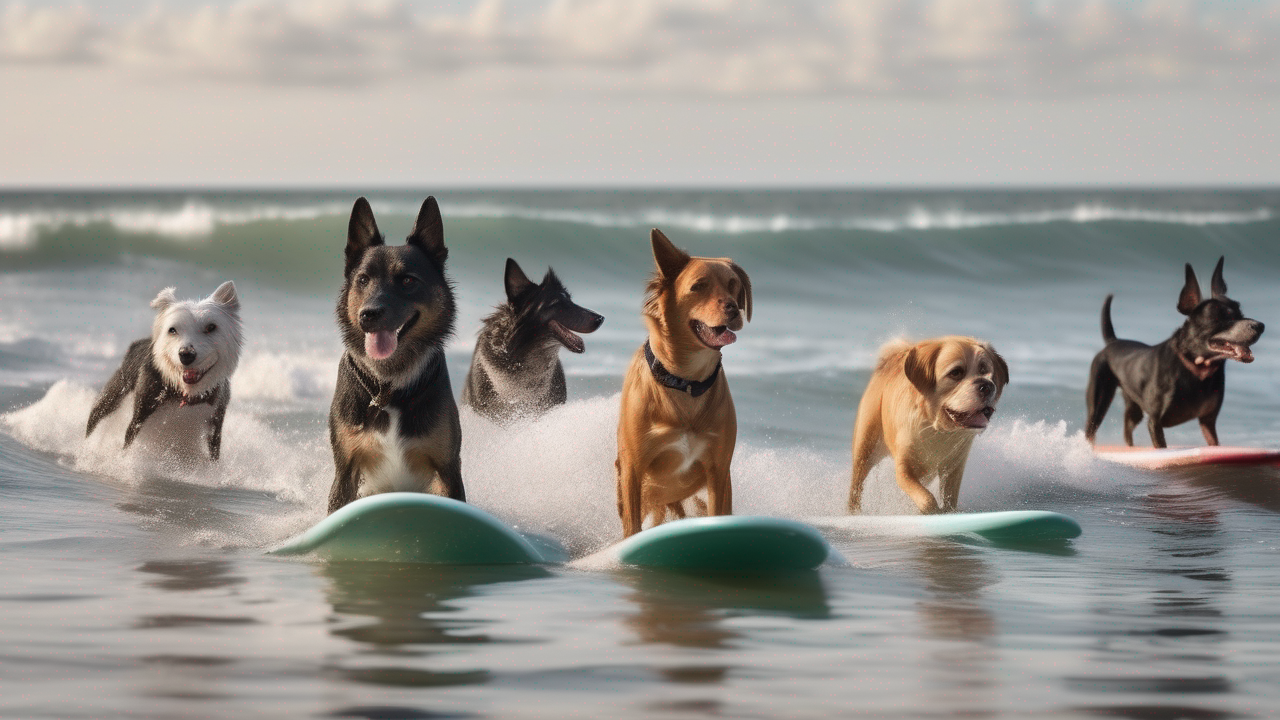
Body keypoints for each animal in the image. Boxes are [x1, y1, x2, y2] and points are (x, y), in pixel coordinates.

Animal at [88, 281, 243, 458]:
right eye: (172, 330)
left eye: (211, 327)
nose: (186, 354)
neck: (186, 395)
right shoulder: (140, 415)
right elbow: (129, 440)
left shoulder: (215, 422)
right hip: (111, 400)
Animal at [616, 226, 752, 535]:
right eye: (698, 286)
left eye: (733, 285)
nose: (733, 309)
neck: (686, 380)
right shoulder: (633, 468)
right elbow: (632, 526)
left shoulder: (718, 469)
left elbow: (718, 510)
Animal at [849, 335, 1008, 509]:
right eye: (956, 373)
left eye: (985, 371)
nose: (986, 386)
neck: (937, 428)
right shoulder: (904, 468)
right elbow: (927, 499)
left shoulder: (954, 467)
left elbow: (949, 502)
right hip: (865, 445)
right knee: (856, 485)